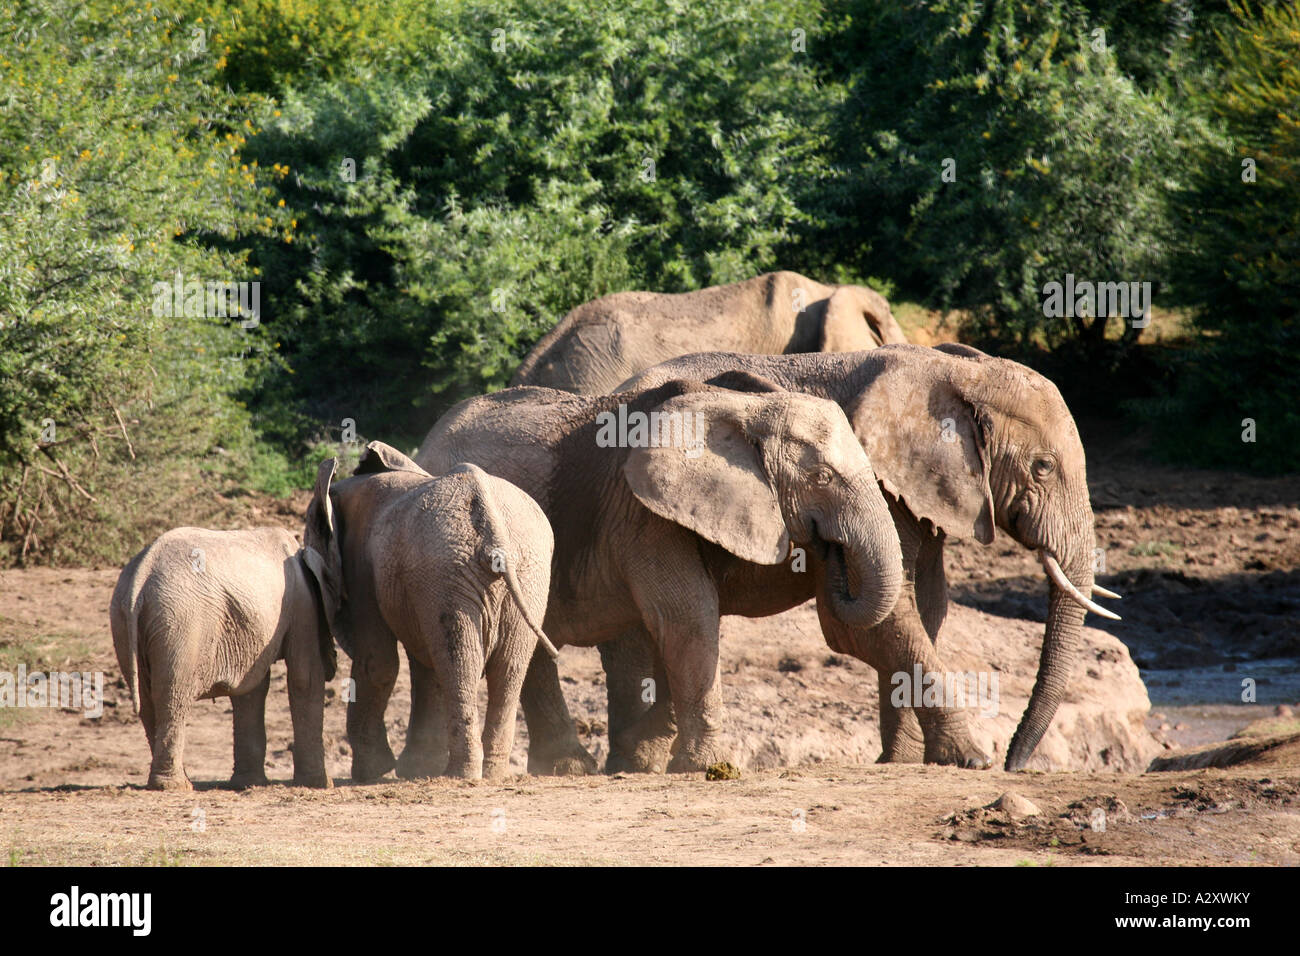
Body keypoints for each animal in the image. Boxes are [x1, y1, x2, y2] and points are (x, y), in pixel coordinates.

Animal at [109, 526, 336, 791]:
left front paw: (248, 784)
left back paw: (174, 783)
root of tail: (140, 577)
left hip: (124, 622)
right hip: (181, 623)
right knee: (173, 697)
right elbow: (304, 678)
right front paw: (322, 784)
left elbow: (251, 689)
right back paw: (176, 786)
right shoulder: (302, 602)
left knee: (148, 701)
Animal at [304, 442, 555, 782]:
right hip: (526, 573)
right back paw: (490, 774)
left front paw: (371, 773)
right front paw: (412, 768)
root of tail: (494, 527)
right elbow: (424, 663)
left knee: (460, 660)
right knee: (506, 666)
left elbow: (378, 663)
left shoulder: (362, 567)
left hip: (449, 569)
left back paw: (460, 774)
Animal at [395, 379, 905, 775]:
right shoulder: (642, 514)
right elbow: (686, 617)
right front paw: (700, 767)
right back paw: (568, 767)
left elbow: (685, 623)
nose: (831, 551)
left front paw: (639, 755)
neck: (743, 408)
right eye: (822, 477)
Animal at [598, 343, 1122, 772]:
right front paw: (970, 758)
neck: (958, 372)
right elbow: (878, 621)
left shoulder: (919, 494)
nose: (1016, 762)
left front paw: (903, 762)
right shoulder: (885, 486)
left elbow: (926, 609)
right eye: (1043, 467)